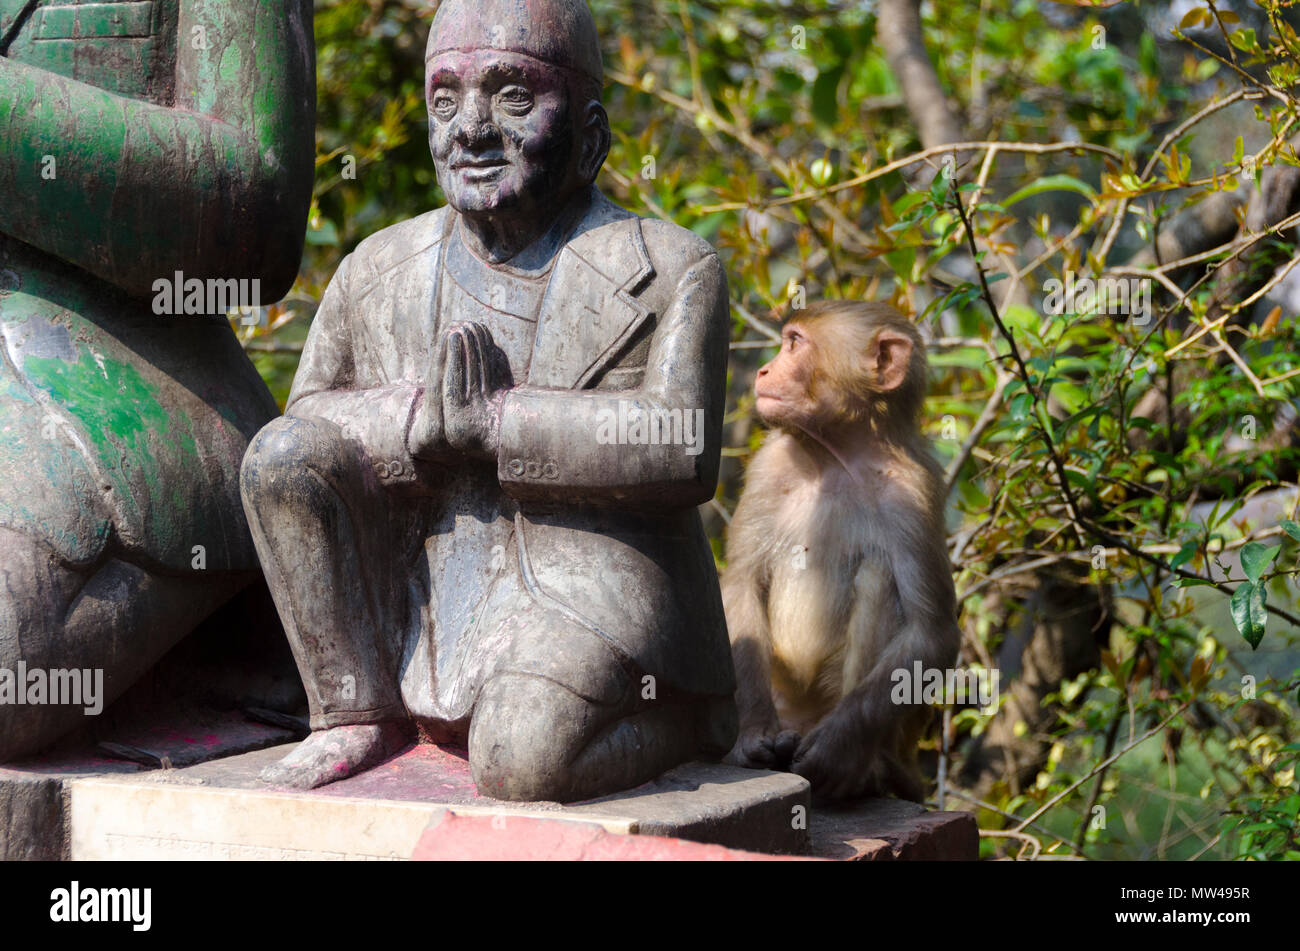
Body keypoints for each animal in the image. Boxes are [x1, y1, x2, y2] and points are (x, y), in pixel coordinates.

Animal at [721, 299, 960, 802]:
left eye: (794, 344)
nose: (764, 370)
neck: (833, 458)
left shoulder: (914, 493)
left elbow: (932, 633)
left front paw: (835, 752)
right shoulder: (768, 467)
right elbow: (742, 582)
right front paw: (751, 736)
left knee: (879, 577)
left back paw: (866, 774)